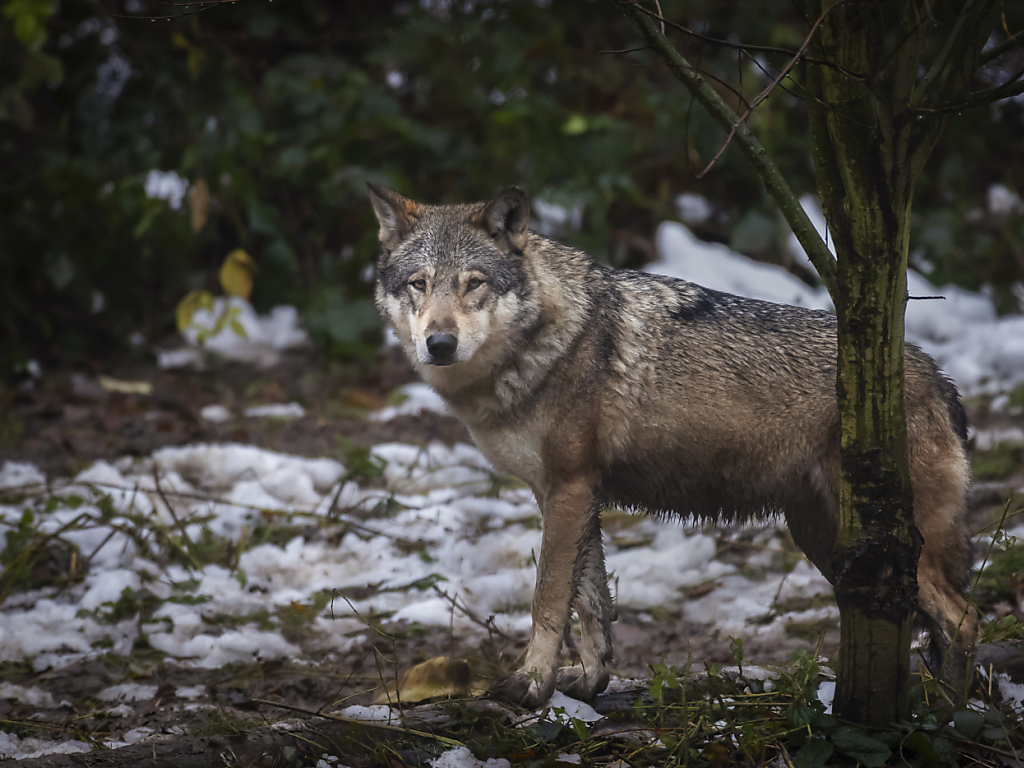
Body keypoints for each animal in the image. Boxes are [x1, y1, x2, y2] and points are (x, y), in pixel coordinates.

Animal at [367, 182, 977, 708]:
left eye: (474, 283)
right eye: (419, 284)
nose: (439, 343)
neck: (543, 345)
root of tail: (937, 376)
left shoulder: (568, 490)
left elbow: (547, 599)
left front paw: (532, 685)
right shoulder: (568, 494)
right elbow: (591, 605)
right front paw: (588, 684)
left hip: (882, 545)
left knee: (964, 620)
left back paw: (948, 716)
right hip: (831, 544)